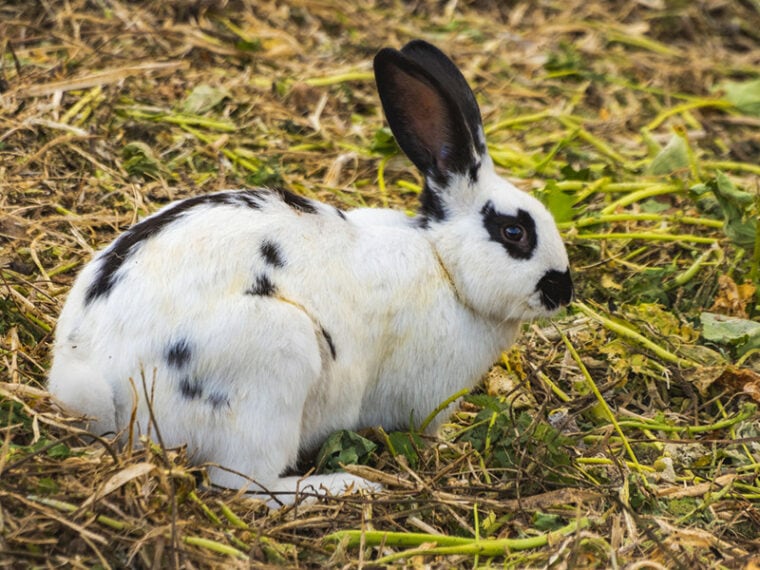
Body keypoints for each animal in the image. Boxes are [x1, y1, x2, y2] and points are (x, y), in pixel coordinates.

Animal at [48, 40, 573, 506]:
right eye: (514, 232)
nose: (563, 290)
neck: (444, 264)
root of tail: (98, 380)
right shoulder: (426, 402)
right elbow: (425, 435)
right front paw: (450, 447)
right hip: (273, 364)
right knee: (244, 485)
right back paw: (346, 486)